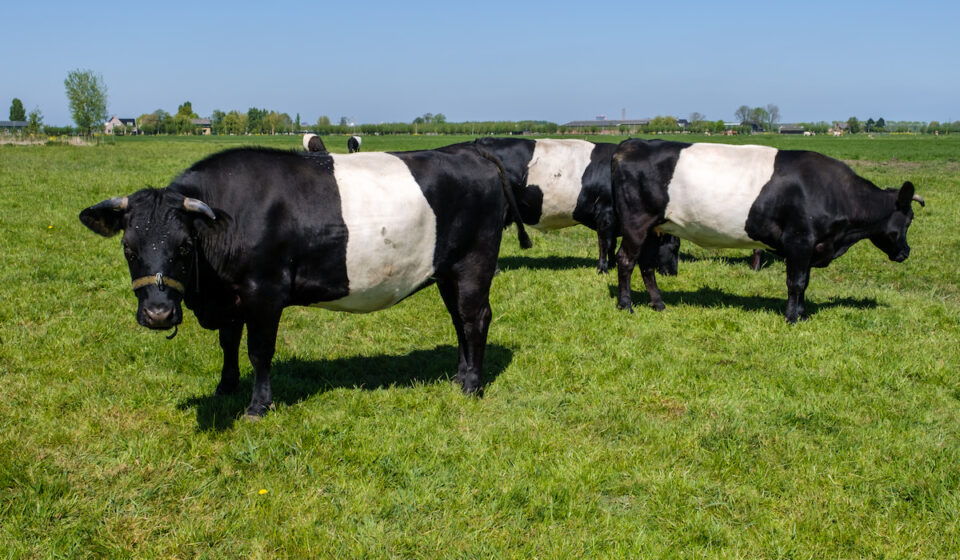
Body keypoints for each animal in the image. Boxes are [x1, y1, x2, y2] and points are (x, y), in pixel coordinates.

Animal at [79, 145, 531, 418]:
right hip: (447, 271)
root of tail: (470, 149)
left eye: (184, 246)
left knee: (475, 318)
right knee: (459, 320)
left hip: (475, 263)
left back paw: (471, 386)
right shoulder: (231, 298)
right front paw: (225, 387)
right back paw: (458, 376)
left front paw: (257, 406)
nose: (158, 313)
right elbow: (228, 343)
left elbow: (259, 351)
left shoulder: (264, 293)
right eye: (129, 249)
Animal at [611, 139, 924, 323]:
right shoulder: (800, 240)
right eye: (908, 220)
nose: (905, 252)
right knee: (625, 260)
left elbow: (805, 282)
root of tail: (631, 144)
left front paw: (802, 315)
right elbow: (796, 282)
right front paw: (792, 319)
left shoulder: (810, 246)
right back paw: (626, 306)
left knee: (646, 265)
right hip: (636, 224)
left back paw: (658, 304)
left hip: (654, 227)